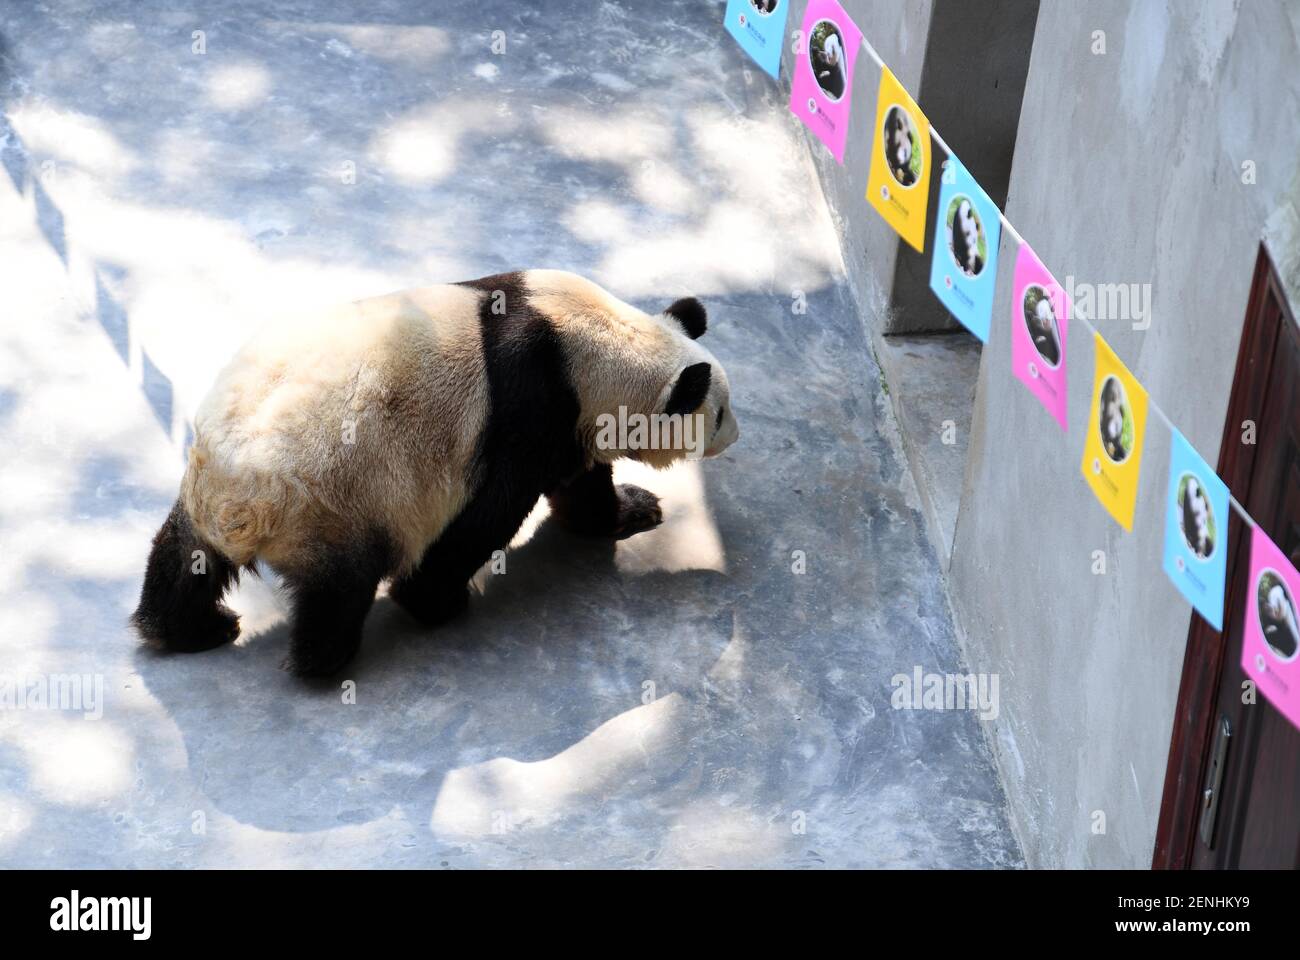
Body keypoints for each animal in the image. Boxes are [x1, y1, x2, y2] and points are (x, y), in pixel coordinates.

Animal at [131, 270, 740, 676]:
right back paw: (322, 661)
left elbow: (581, 482)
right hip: (337, 504)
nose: (734, 436)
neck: (591, 341)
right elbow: (491, 513)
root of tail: (246, 506)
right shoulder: (532, 407)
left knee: (183, 555)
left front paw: (634, 507)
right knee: (339, 590)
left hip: (205, 486)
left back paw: (189, 628)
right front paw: (435, 599)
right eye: (720, 412)